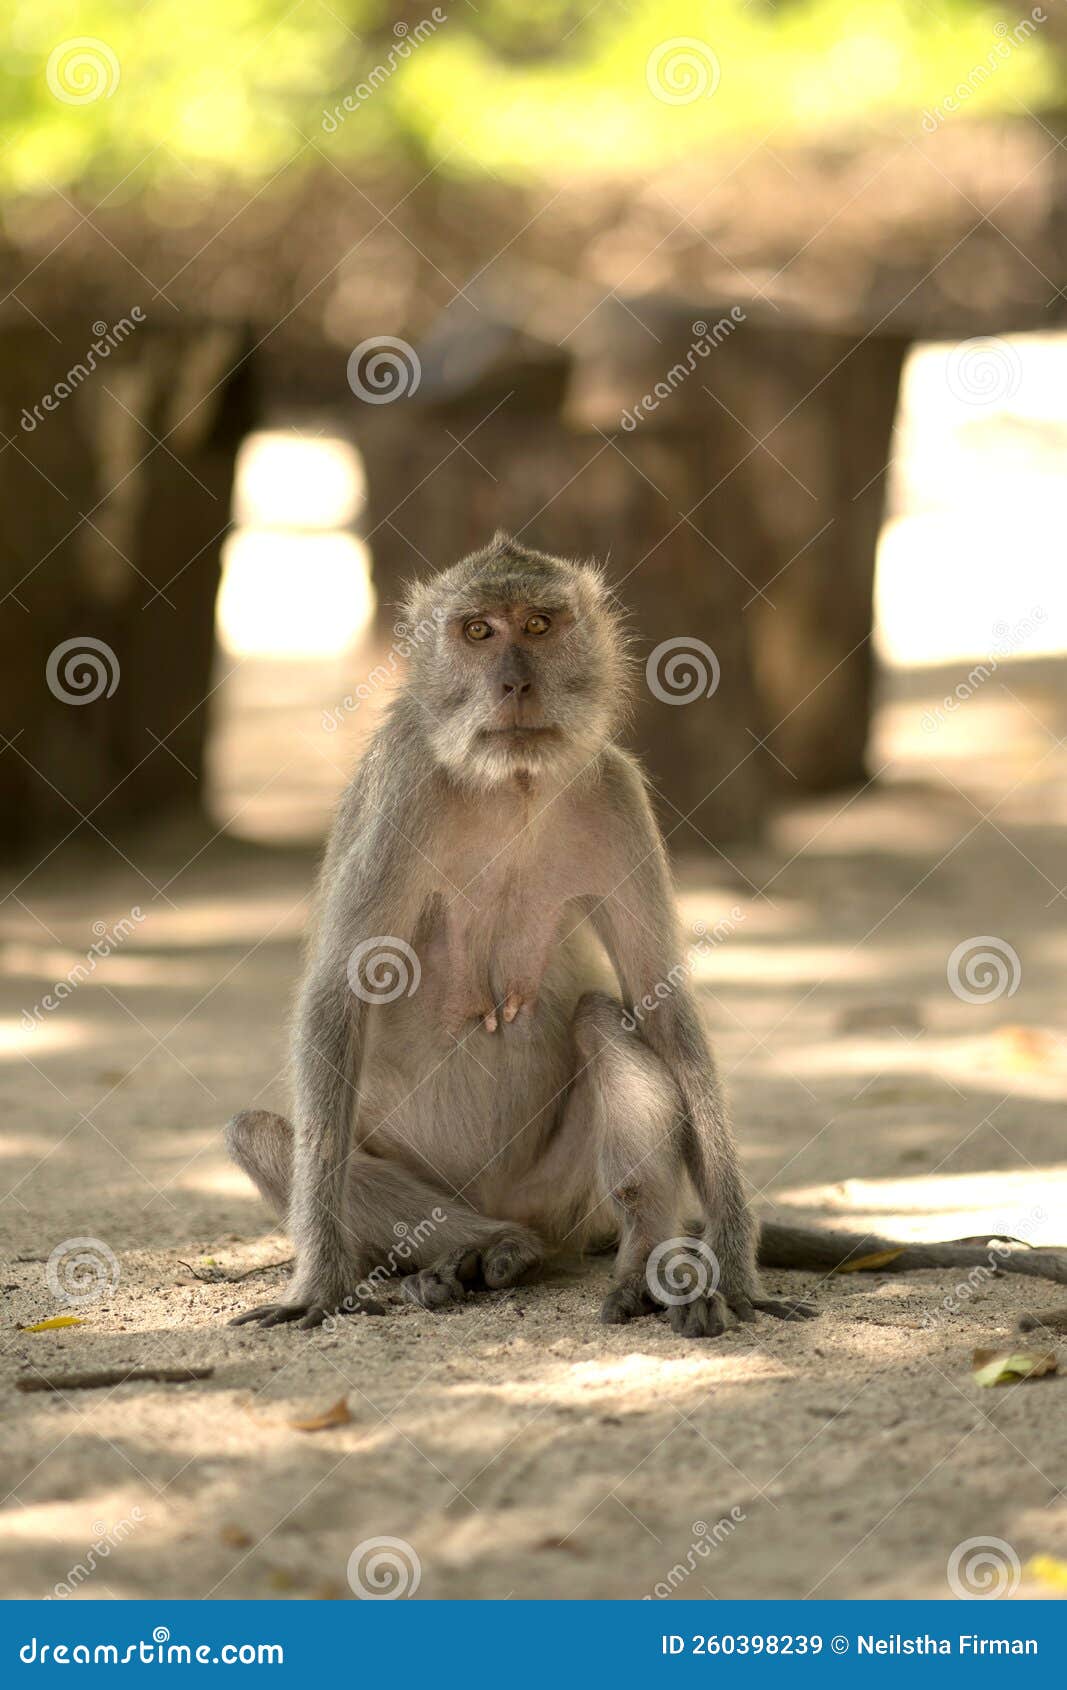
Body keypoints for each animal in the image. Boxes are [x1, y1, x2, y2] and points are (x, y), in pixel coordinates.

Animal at [226, 533, 1067, 1333]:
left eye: (538, 626)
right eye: (477, 631)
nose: (514, 683)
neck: (514, 785)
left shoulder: (614, 790)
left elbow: (660, 1002)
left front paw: (734, 1264)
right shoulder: (405, 787)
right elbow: (337, 995)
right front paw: (321, 1283)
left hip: (565, 1192)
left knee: (602, 1020)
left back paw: (635, 1258)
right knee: (258, 1134)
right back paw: (481, 1250)